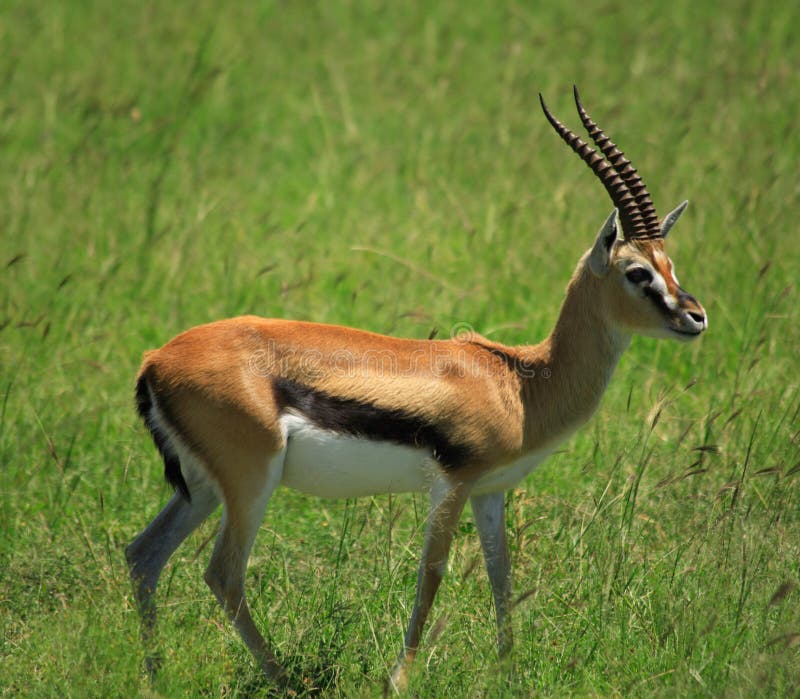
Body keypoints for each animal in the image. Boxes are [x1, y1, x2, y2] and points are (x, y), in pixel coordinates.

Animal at [126, 87, 707, 691]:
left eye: (671, 263)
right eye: (638, 272)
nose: (696, 317)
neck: (518, 385)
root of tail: (155, 360)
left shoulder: (489, 490)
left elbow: (500, 575)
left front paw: (509, 674)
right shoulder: (451, 484)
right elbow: (433, 573)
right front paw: (398, 680)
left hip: (203, 486)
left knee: (143, 555)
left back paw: (157, 675)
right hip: (250, 482)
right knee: (223, 574)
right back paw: (286, 681)